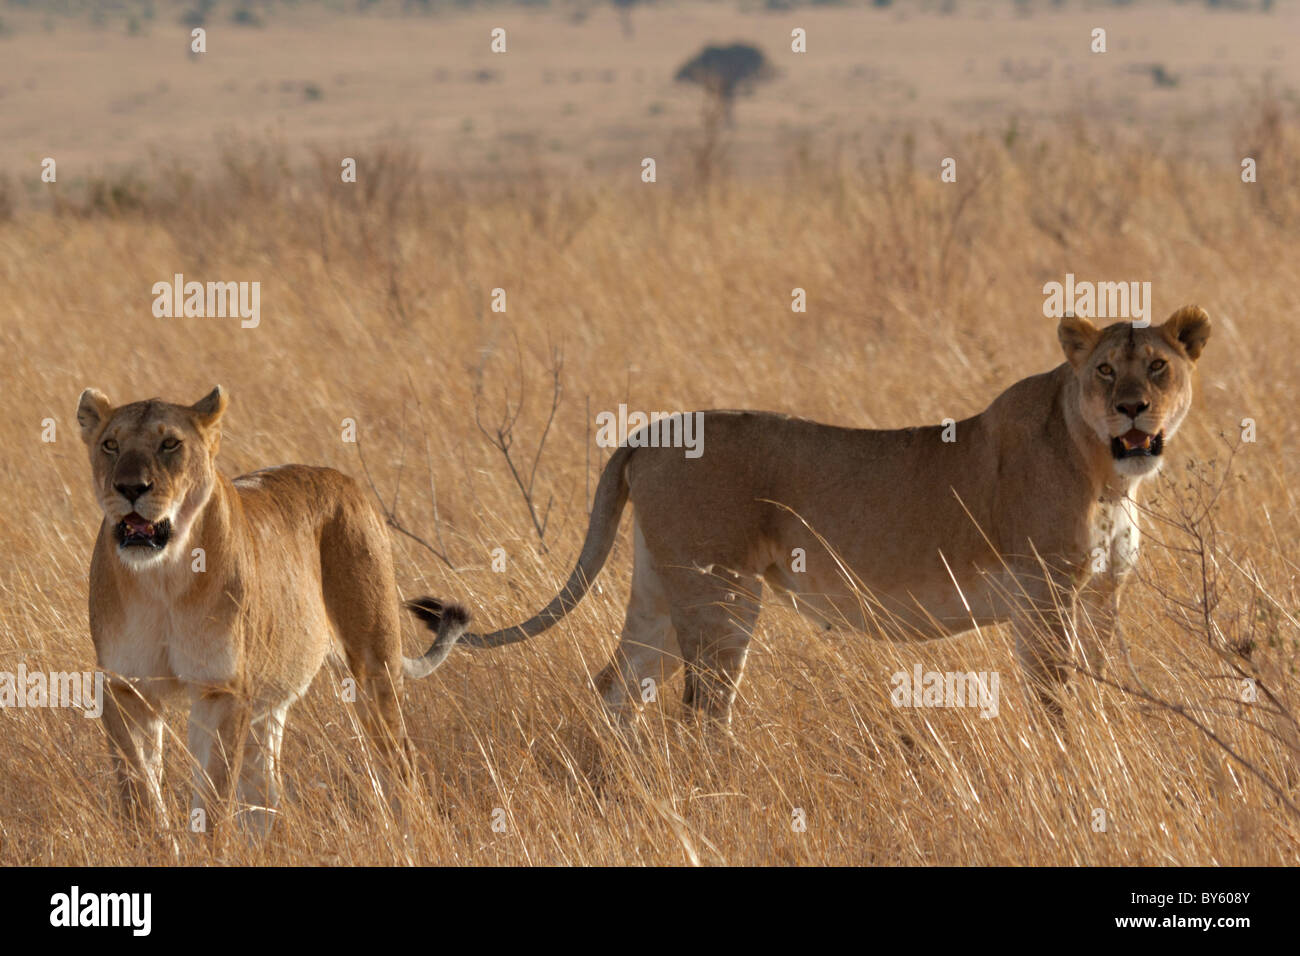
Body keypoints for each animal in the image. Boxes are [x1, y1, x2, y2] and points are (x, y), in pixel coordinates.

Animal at [76, 386, 466, 840]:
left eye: (170, 444)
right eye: (110, 444)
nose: (129, 488)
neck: (163, 578)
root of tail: (345, 480)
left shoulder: (221, 689)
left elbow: (212, 801)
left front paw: (205, 847)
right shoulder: (126, 686)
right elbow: (138, 788)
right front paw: (152, 841)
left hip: (374, 667)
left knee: (398, 764)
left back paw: (410, 834)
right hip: (269, 698)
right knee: (266, 790)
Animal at [407, 306, 1211, 727]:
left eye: (1159, 367)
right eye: (1104, 370)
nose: (1132, 408)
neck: (1107, 475)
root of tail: (649, 432)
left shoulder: (1101, 595)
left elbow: (1100, 684)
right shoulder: (1045, 594)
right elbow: (1055, 699)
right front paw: (1070, 759)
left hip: (662, 586)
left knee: (617, 684)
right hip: (720, 591)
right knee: (701, 706)